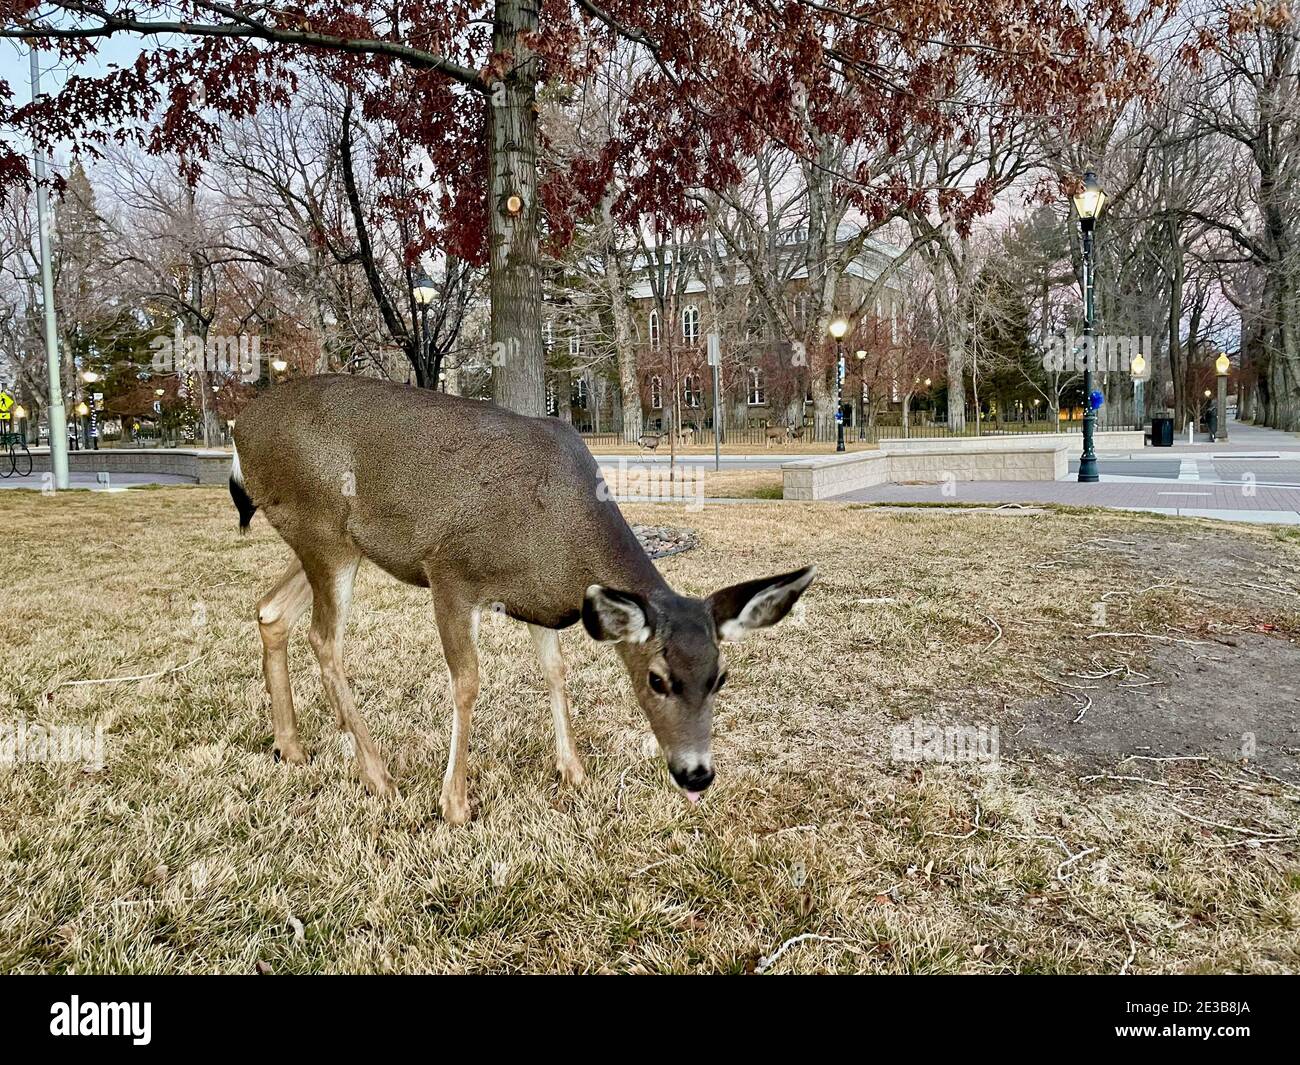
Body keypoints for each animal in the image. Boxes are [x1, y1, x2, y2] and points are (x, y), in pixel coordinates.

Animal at [230, 375, 814, 825]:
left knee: (270, 611)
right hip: (322, 528)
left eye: (720, 677)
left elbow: (556, 671)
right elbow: (467, 682)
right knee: (324, 639)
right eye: (656, 679)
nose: (697, 774)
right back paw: (377, 775)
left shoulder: (542, 601)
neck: (563, 537)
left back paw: (291, 747)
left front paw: (573, 770)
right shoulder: (450, 571)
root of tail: (240, 431)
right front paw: (455, 804)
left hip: (324, 540)